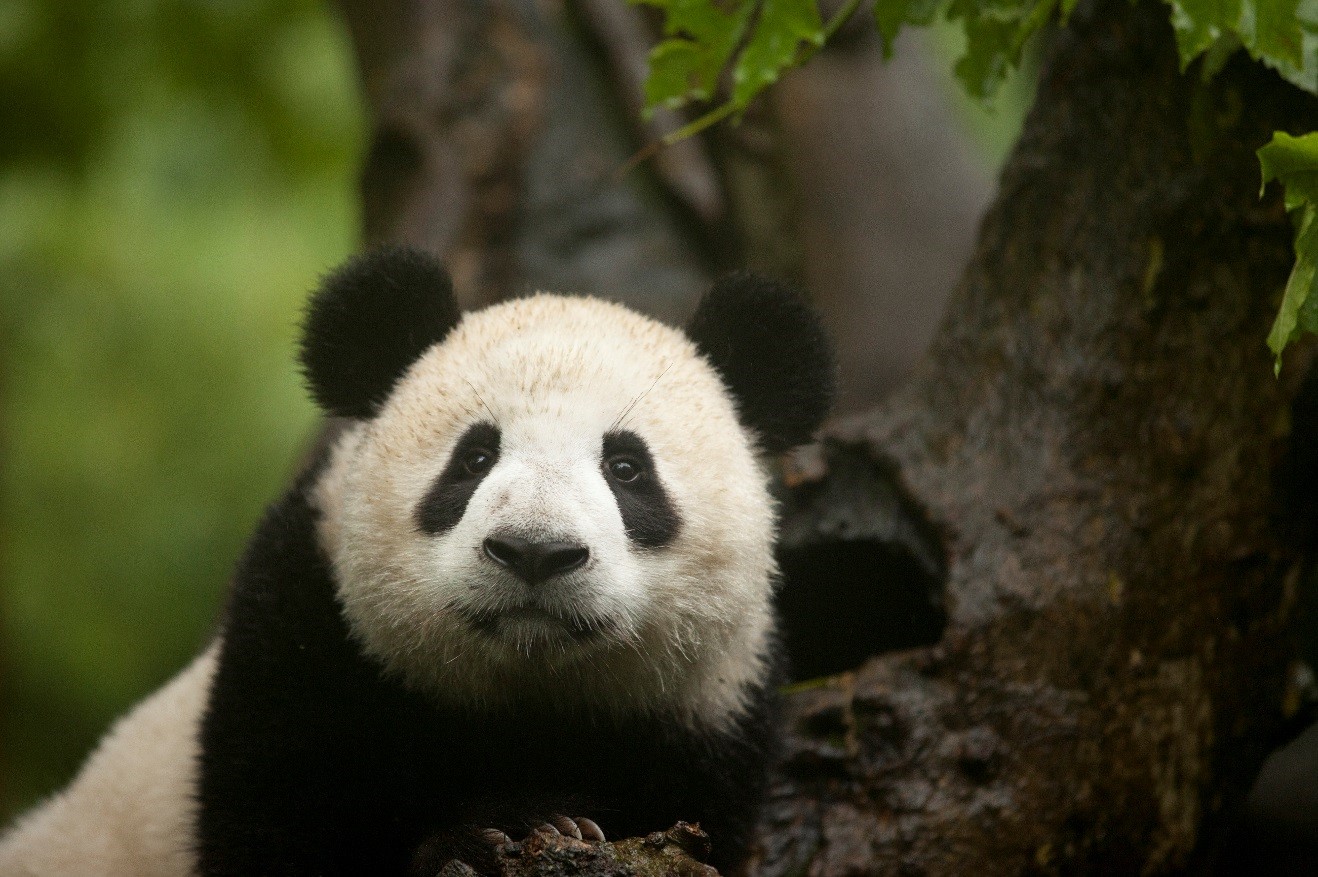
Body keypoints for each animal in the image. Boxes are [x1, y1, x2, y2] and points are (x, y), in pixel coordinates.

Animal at [0, 247, 835, 876]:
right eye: (473, 457)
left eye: (628, 469)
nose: (534, 551)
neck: (526, 698)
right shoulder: (301, 638)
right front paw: (494, 835)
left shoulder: (708, 710)